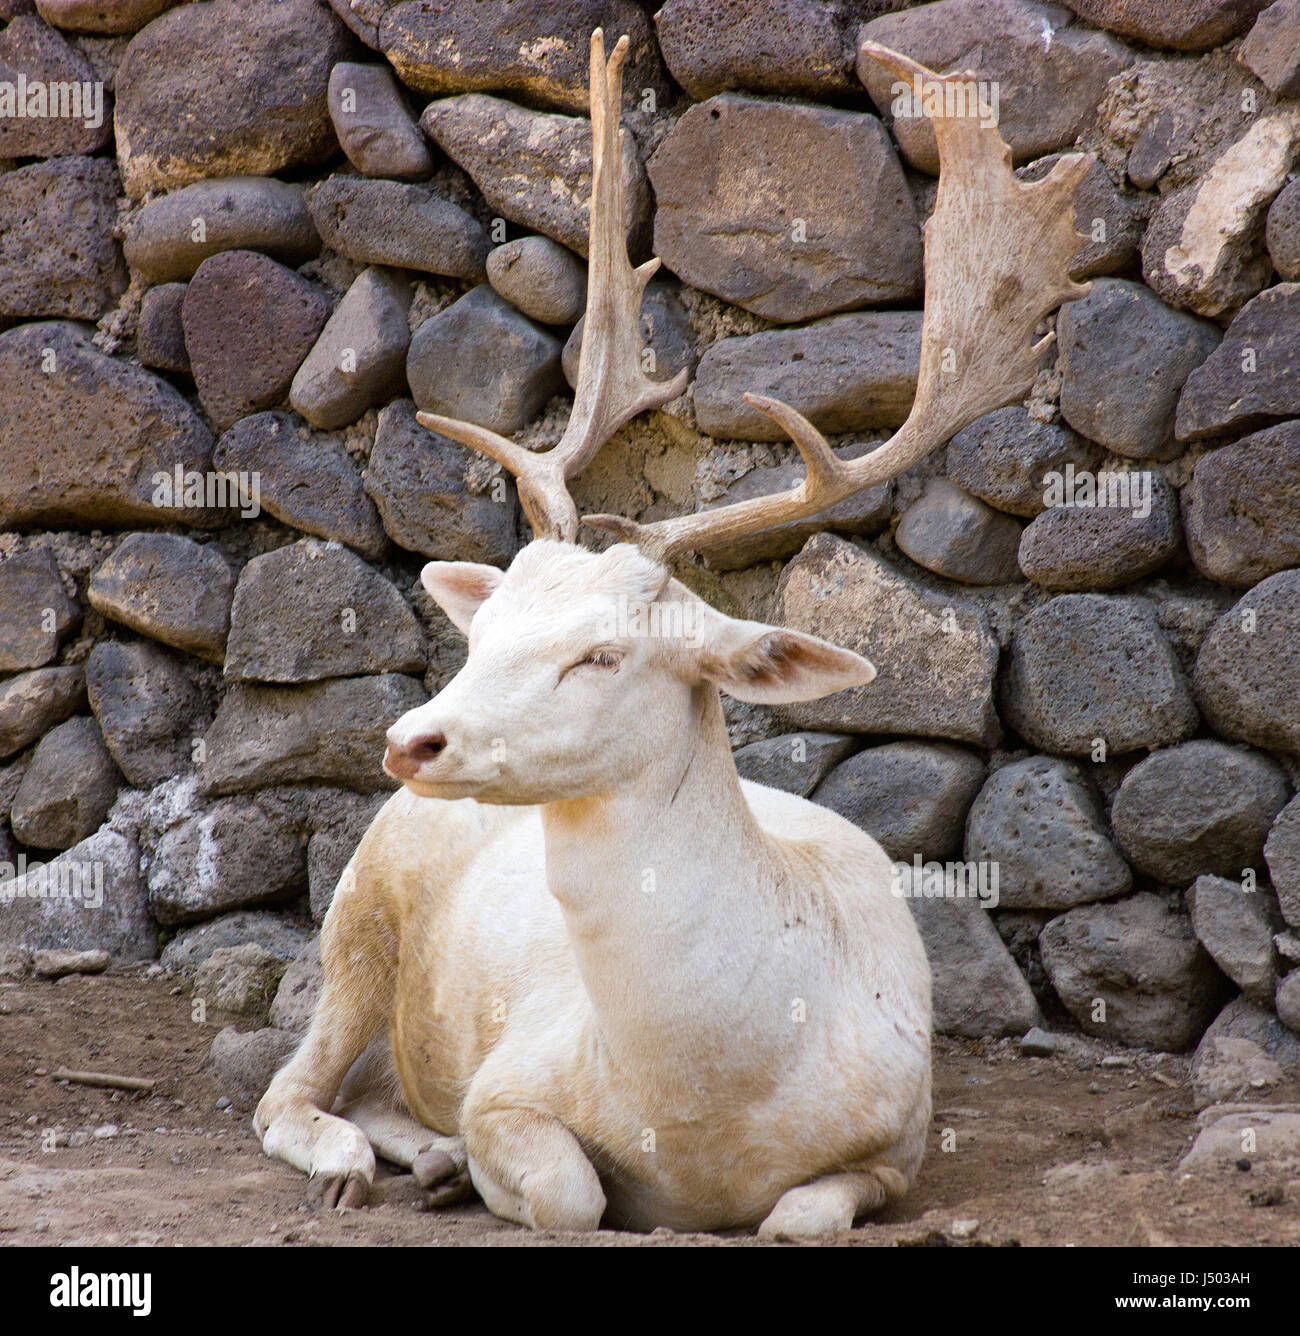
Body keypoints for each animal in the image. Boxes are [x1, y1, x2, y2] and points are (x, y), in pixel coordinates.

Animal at [253, 29, 1092, 1236]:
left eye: (602, 653)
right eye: (485, 628)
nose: (415, 738)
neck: (706, 1109)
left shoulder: (902, 1141)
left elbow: (798, 1215)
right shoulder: (510, 1082)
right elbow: (568, 1192)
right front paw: (476, 1166)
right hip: (354, 919)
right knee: (289, 1090)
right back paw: (373, 1160)